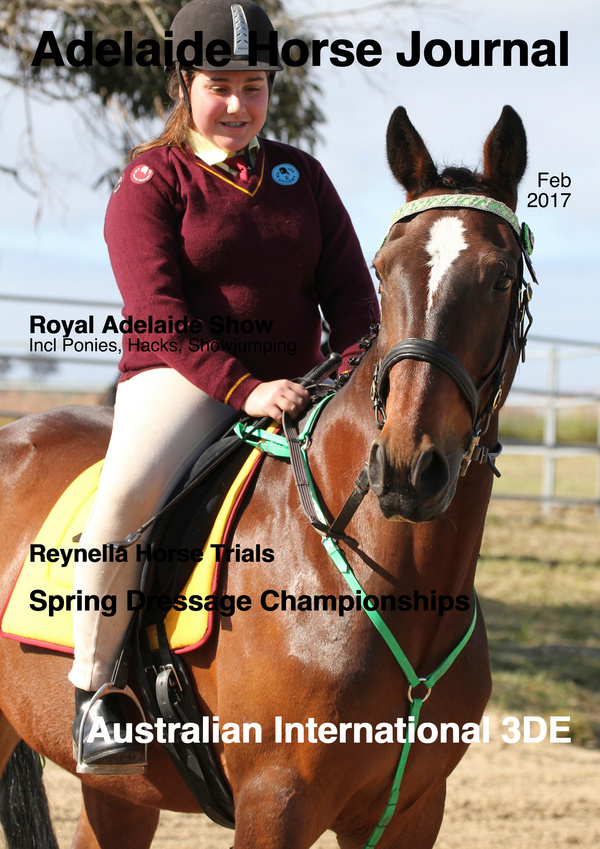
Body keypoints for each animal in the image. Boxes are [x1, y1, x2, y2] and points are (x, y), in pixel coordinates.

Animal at [0, 104, 533, 849]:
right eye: (383, 269)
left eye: (501, 277)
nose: (405, 467)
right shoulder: (276, 804)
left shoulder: (412, 811)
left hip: (120, 794)